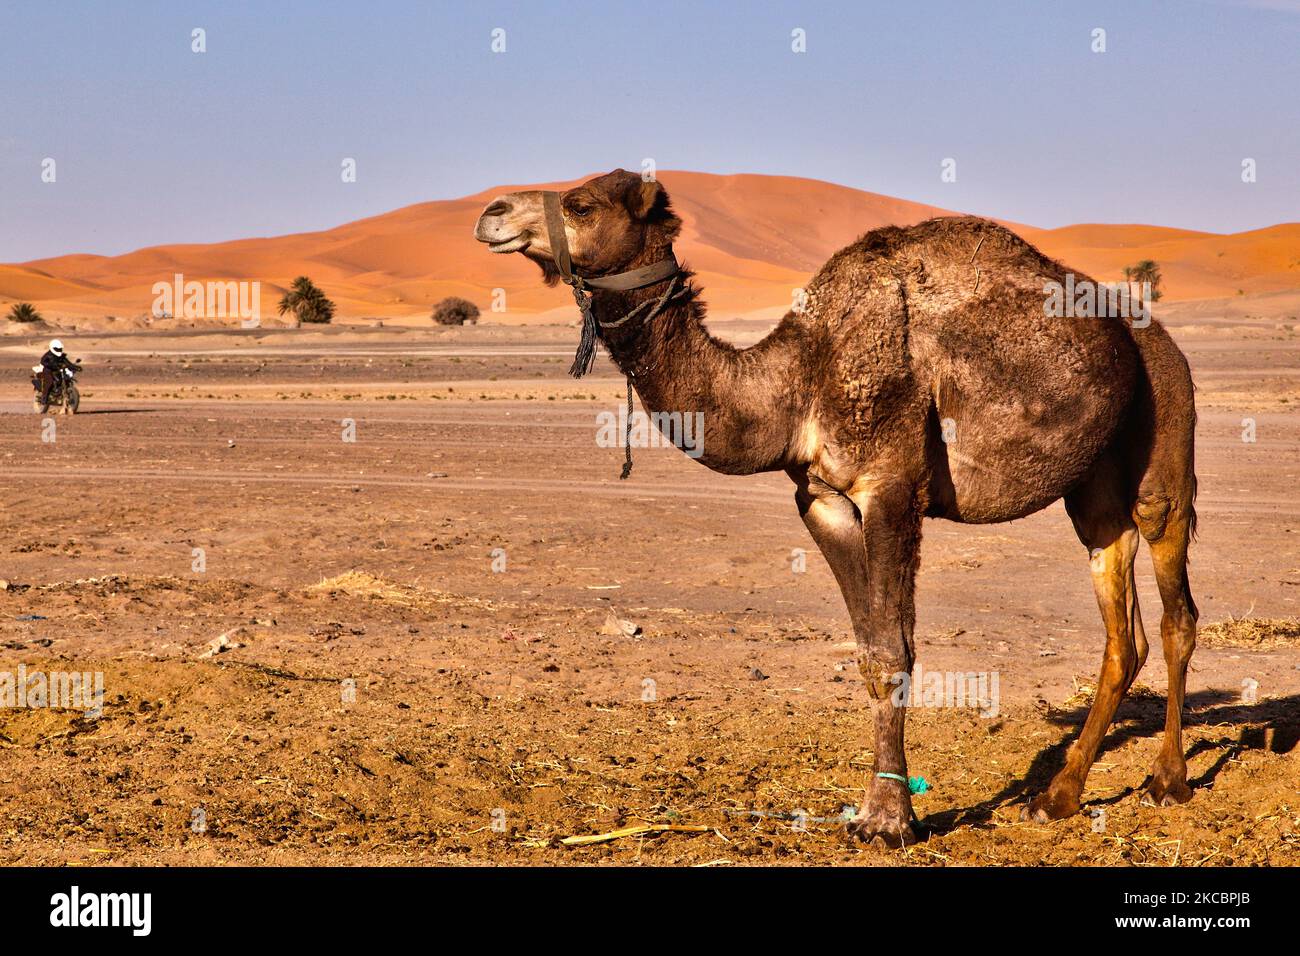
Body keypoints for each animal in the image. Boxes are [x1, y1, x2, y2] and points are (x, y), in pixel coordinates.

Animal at [474, 170, 1199, 847]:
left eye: (581, 204)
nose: (491, 212)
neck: (796, 382)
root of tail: (1154, 334)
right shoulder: (821, 500)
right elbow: (869, 650)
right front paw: (879, 809)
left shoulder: (892, 485)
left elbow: (893, 648)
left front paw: (889, 820)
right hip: (1094, 486)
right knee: (1122, 628)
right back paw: (1058, 795)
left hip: (1164, 420)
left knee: (1175, 604)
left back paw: (1168, 781)